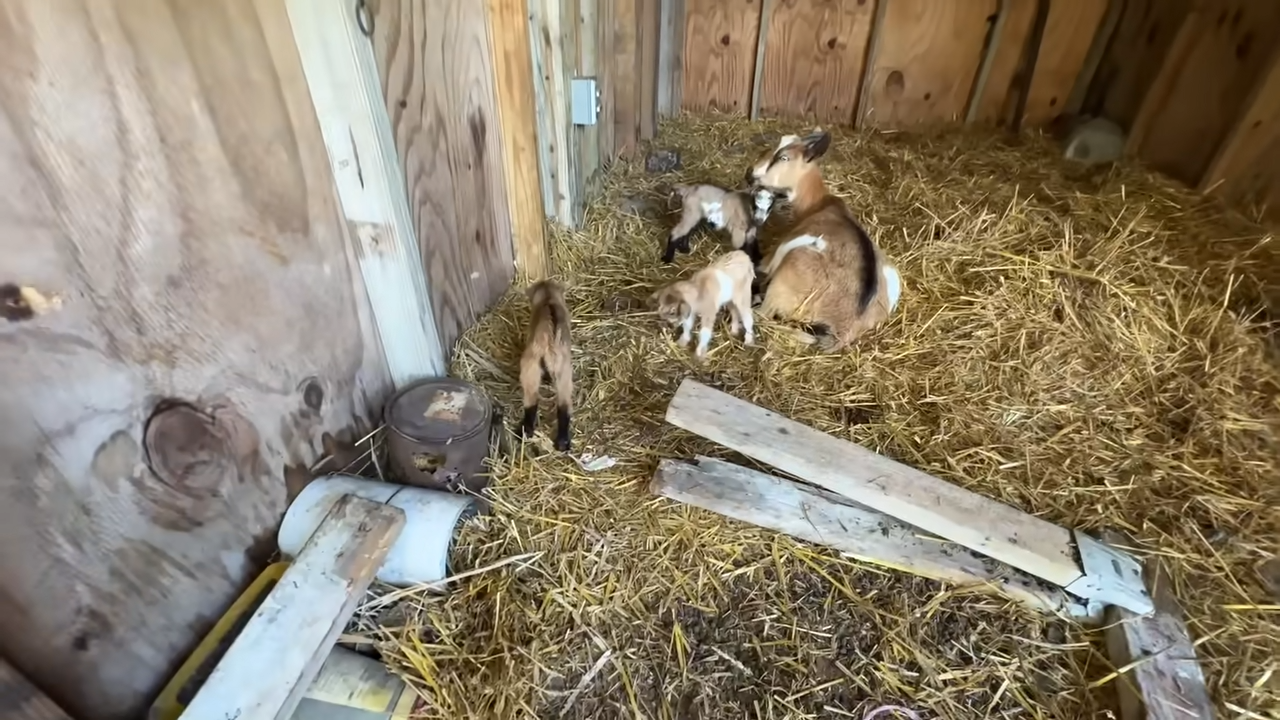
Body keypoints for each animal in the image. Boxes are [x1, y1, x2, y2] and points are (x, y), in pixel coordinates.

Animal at [518, 280, 574, 451]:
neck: (548, 298)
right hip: (563, 371)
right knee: (564, 405)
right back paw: (562, 442)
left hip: (530, 368)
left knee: (531, 401)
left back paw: (525, 431)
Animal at [746, 129, 902, 351]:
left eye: (784, 157)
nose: (749, 174)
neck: (818, 204)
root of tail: (843, 329)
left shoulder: (772, 257)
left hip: (789, 272)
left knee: (762, 314)